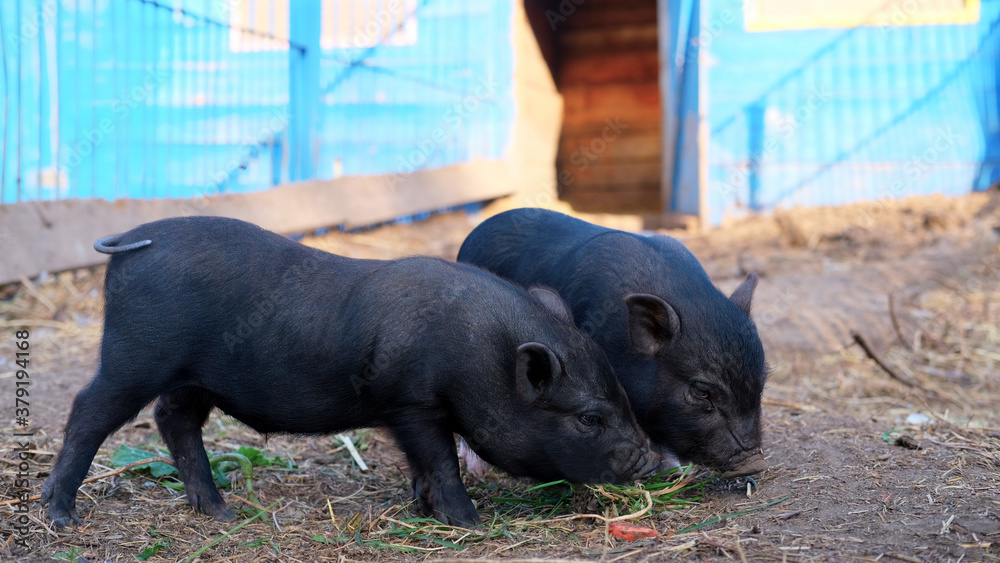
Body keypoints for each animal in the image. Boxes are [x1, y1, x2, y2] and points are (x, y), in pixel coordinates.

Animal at [40, 216, 660, 529]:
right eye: (588, 417)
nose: (648, 460)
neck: (478, 352)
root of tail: (131, 241)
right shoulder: (411, 402)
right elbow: (440, 460)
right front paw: (471, 524)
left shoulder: (414, 410)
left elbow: (424, 464)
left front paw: (423, 510)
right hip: (134, 355)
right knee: (87, 410)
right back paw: (61, 516)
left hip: (194, 378)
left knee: (174, 419)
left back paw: (219, 512)